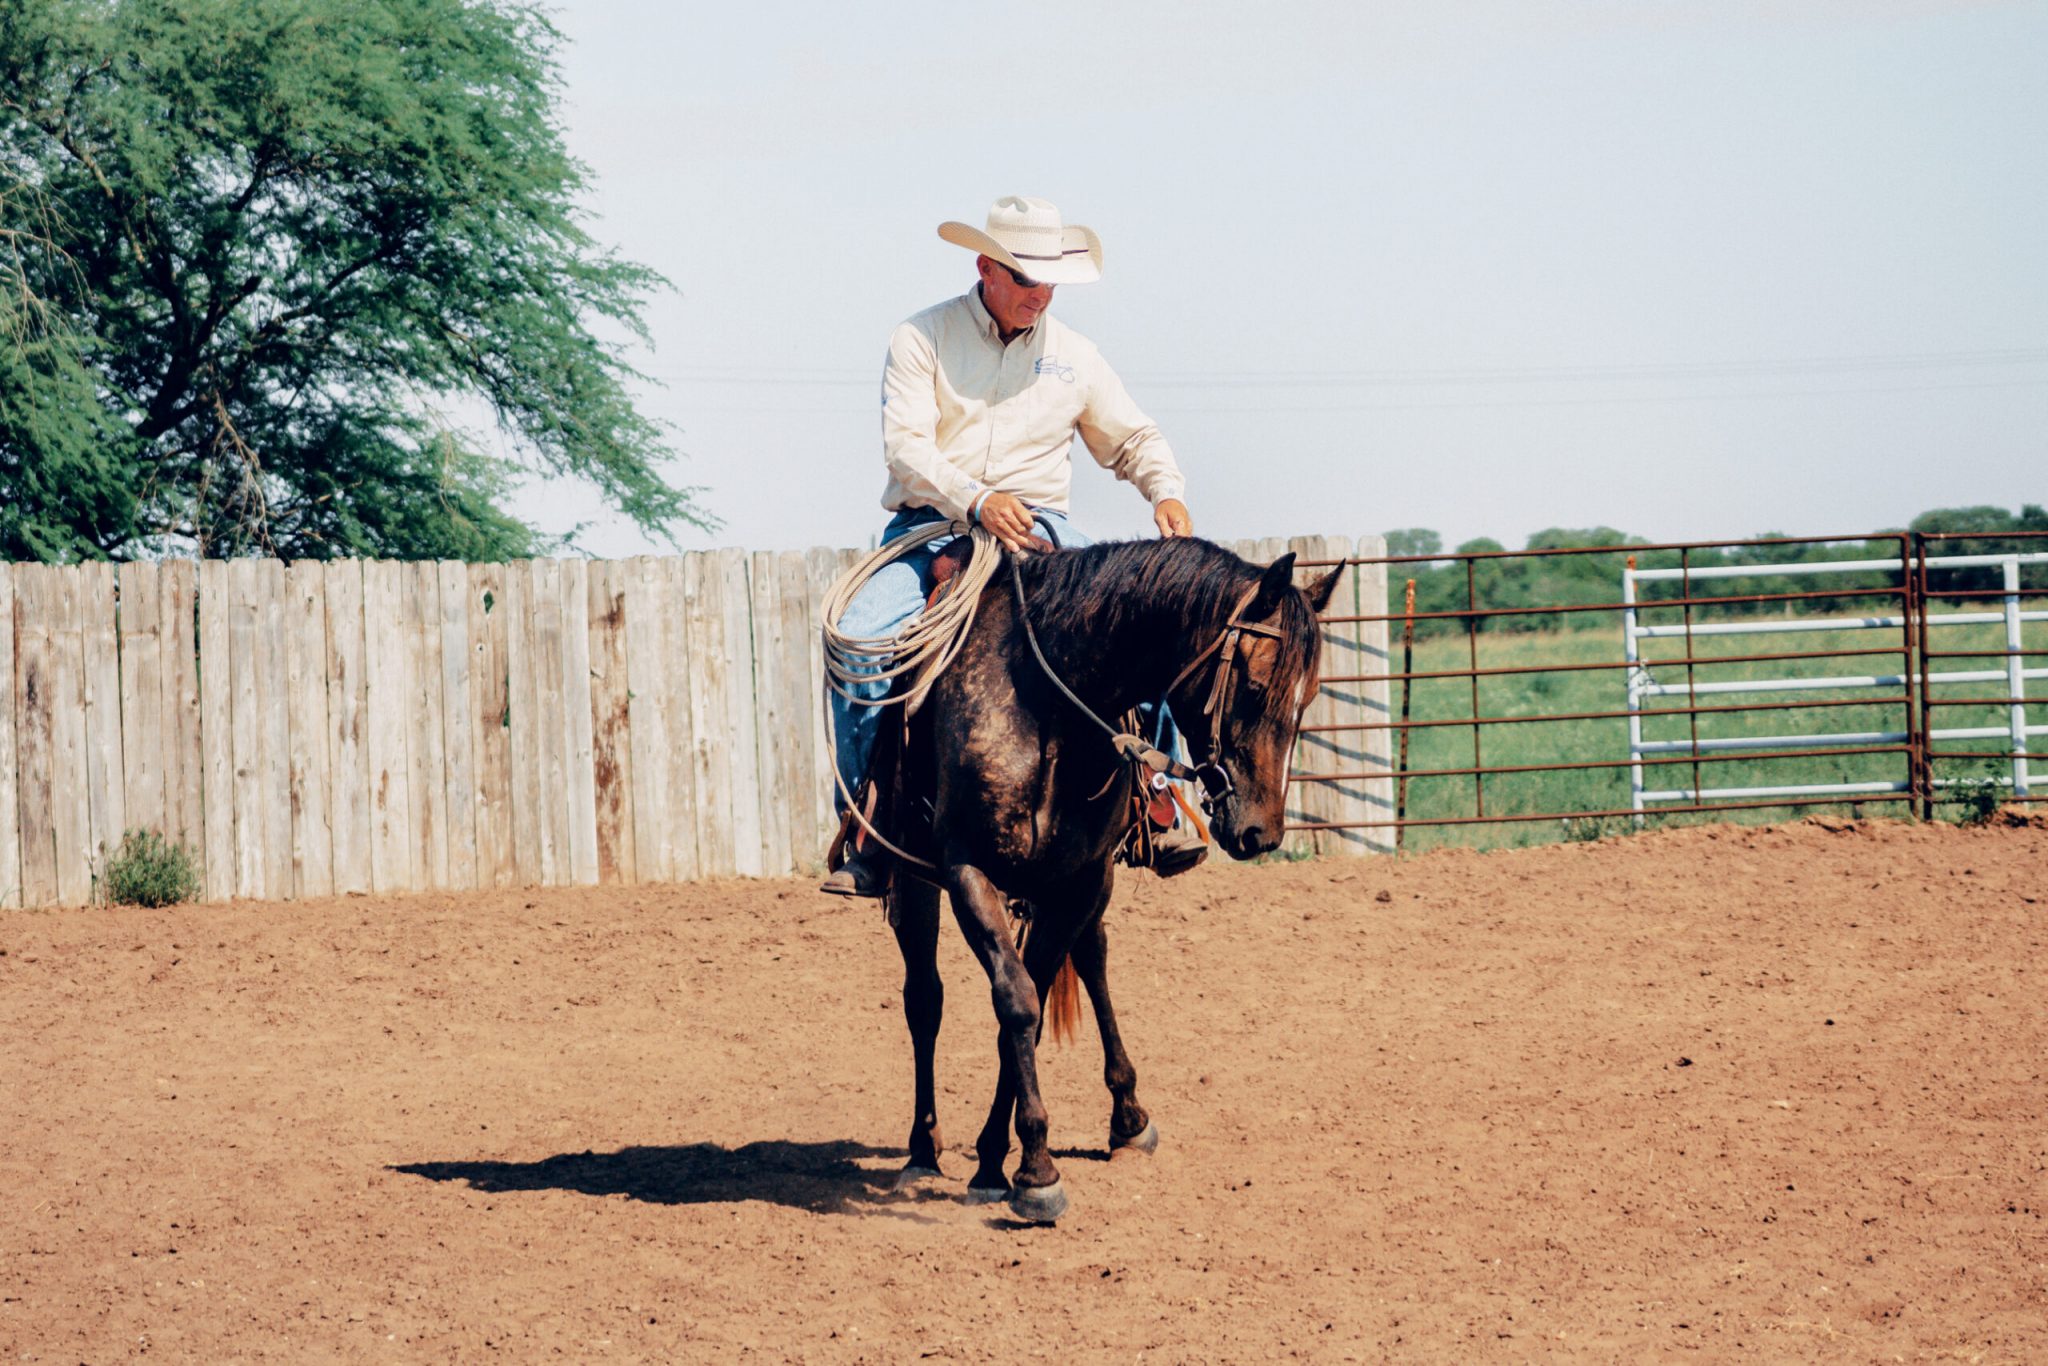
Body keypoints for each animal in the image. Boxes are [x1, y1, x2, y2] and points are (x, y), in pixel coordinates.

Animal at [879, 535, 1341, 1222]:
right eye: (1255, 686)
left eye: (1306, 697)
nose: (1262, 832)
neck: (1044, 712)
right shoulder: (966, 873)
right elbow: (1015, 1002)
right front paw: (1034, 1171)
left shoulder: (1080, 880)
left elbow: (1036, 1000)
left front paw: (998, 1159)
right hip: (914, 879)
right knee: (924, 999)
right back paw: (920, 1150)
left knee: (1091, 961)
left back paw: (1127, 1117)